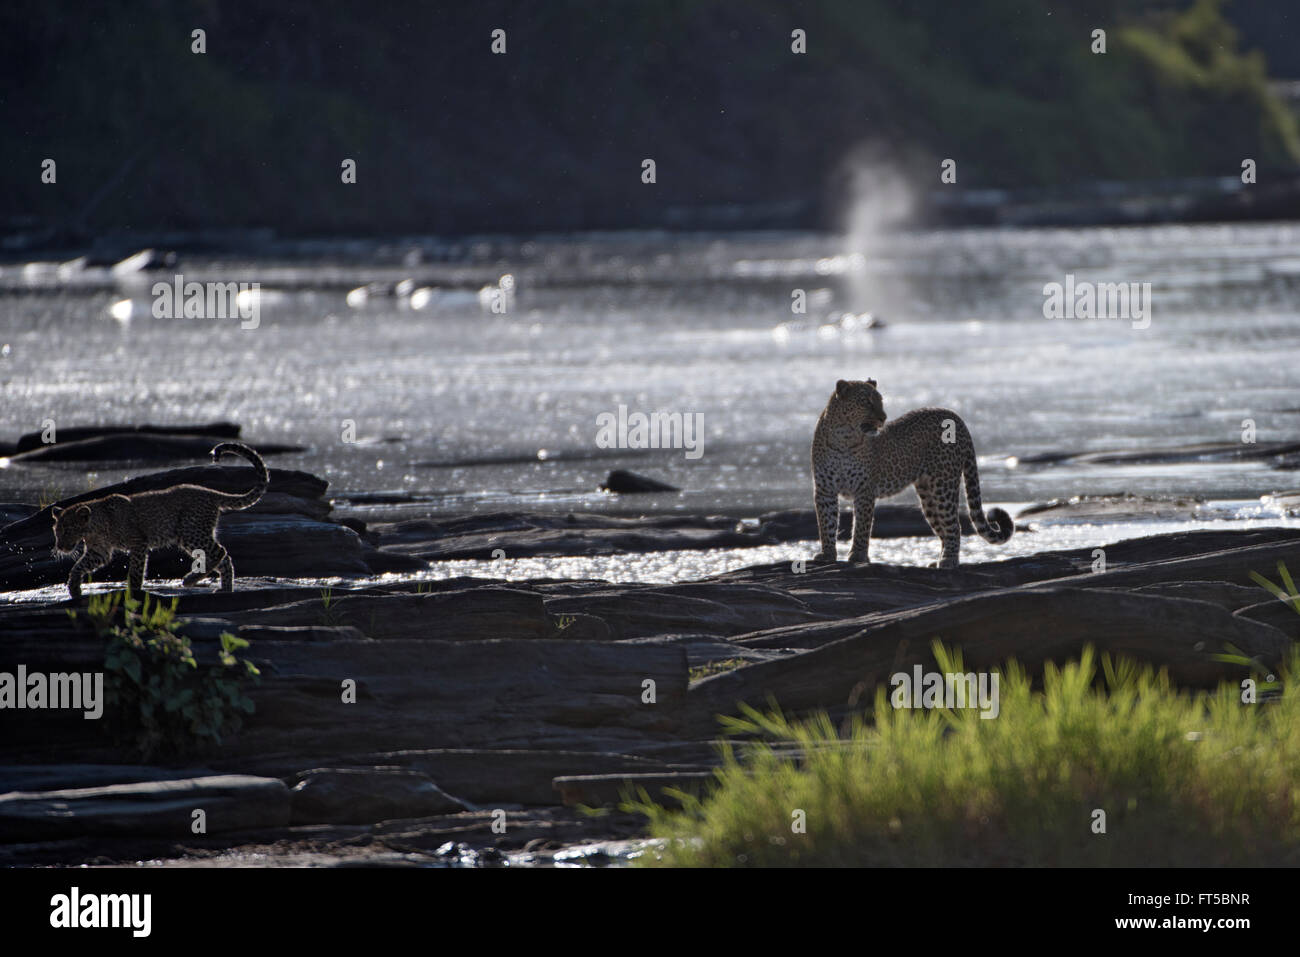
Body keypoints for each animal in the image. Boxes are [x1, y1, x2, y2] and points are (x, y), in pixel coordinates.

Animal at [51, 442, 269, 599]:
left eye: (68, 530)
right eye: (57, 531)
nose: (60, 547)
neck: (94, 527)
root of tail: (211, 492)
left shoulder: (138, 542)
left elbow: (136, 570)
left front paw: (133, 591)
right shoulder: (100, 551)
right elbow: (78, 566)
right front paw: (74, 588)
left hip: (191, 532)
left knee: (220, 552)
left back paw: (191, 579)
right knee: (224, 558)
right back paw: (225, 589)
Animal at [810, 379, 1013, 568]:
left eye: (880, 401)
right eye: (866, 402)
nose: (883, 417)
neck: (843, 438)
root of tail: (954, 415)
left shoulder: (864, 491)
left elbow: (861, 526)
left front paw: (858, 556)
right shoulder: (825, 490)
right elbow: (826, 524)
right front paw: (827, 554)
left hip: (943, 486)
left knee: (954, 526)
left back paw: (949, 560)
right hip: (928, 495)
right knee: (943, 528)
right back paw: (938, 560)